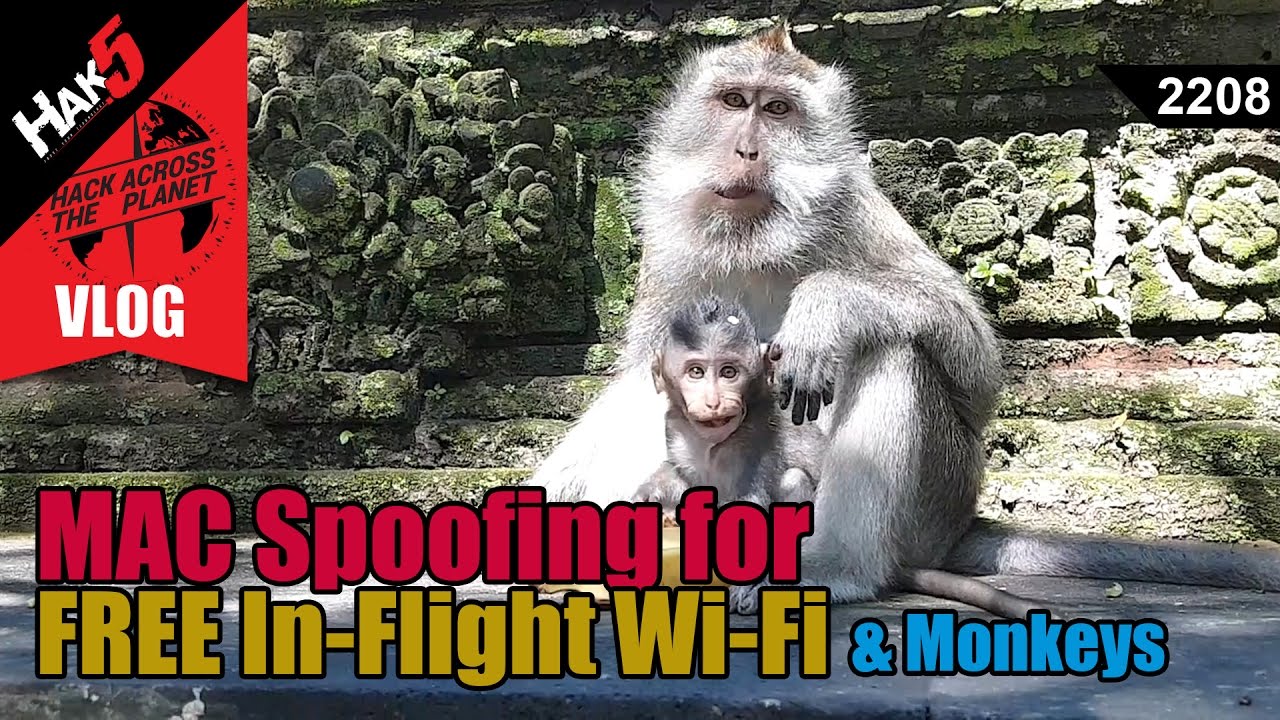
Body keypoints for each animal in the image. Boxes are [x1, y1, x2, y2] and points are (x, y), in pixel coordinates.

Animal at [634, 294, 1046, 619]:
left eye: (729, 371)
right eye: (696, 372)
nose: (715, 401)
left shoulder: (754, 441)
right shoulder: (677, 431)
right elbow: (682, 477)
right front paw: (652, 500)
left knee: (796, 480)